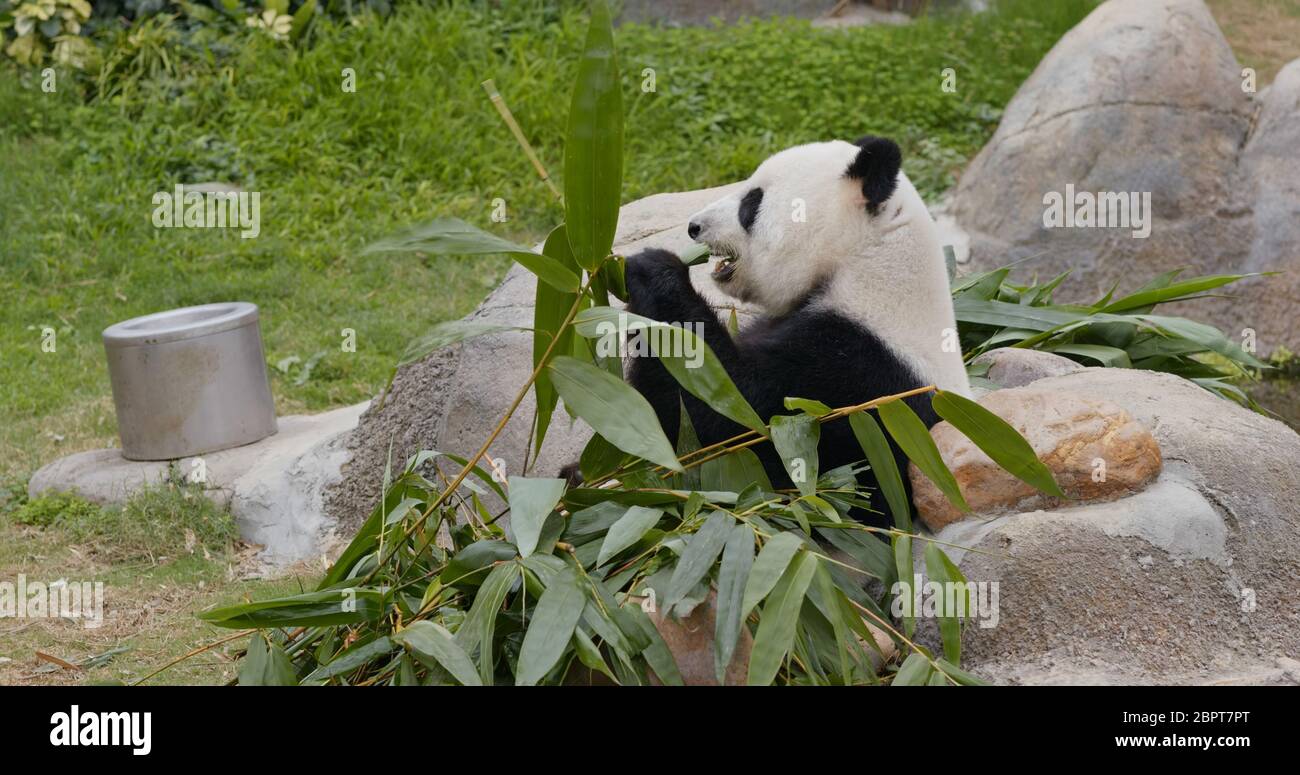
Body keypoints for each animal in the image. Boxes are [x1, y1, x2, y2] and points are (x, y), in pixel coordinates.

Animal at [623, 136, 971, 529]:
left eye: (752, 202)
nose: (694, 227)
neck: (867, 263)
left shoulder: (857, 382)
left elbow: (728, 416)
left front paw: (651, 270)